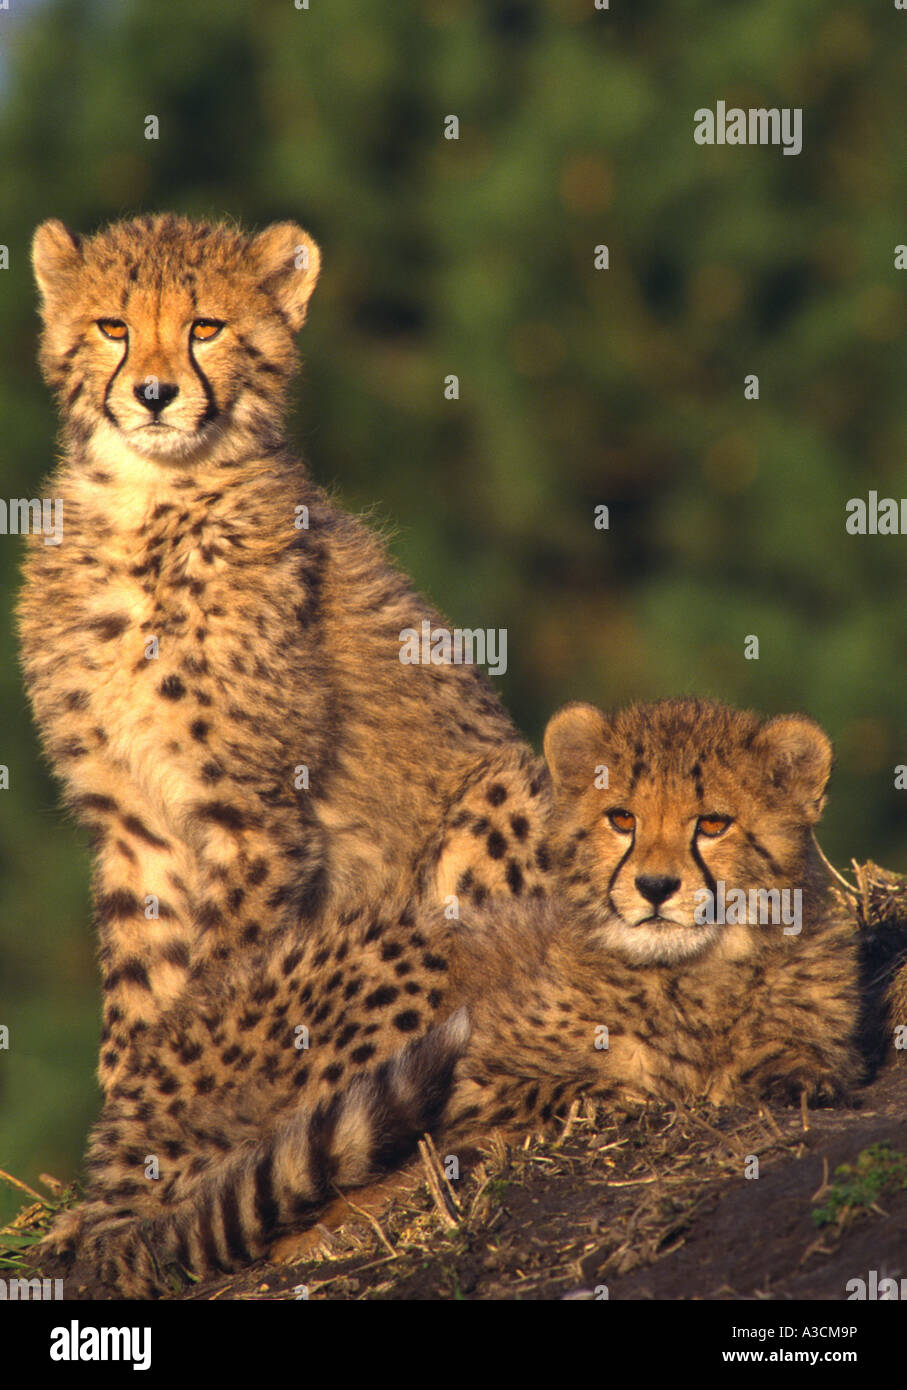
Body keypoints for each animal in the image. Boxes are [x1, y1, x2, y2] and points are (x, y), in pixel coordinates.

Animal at [40, 698, 860, 1298]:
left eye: (713, 823)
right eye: (620, 818)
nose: (655, 887)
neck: (697, 972)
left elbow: (805, 1058)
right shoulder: (475, 1075)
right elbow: (585, 1087)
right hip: (406, 952)